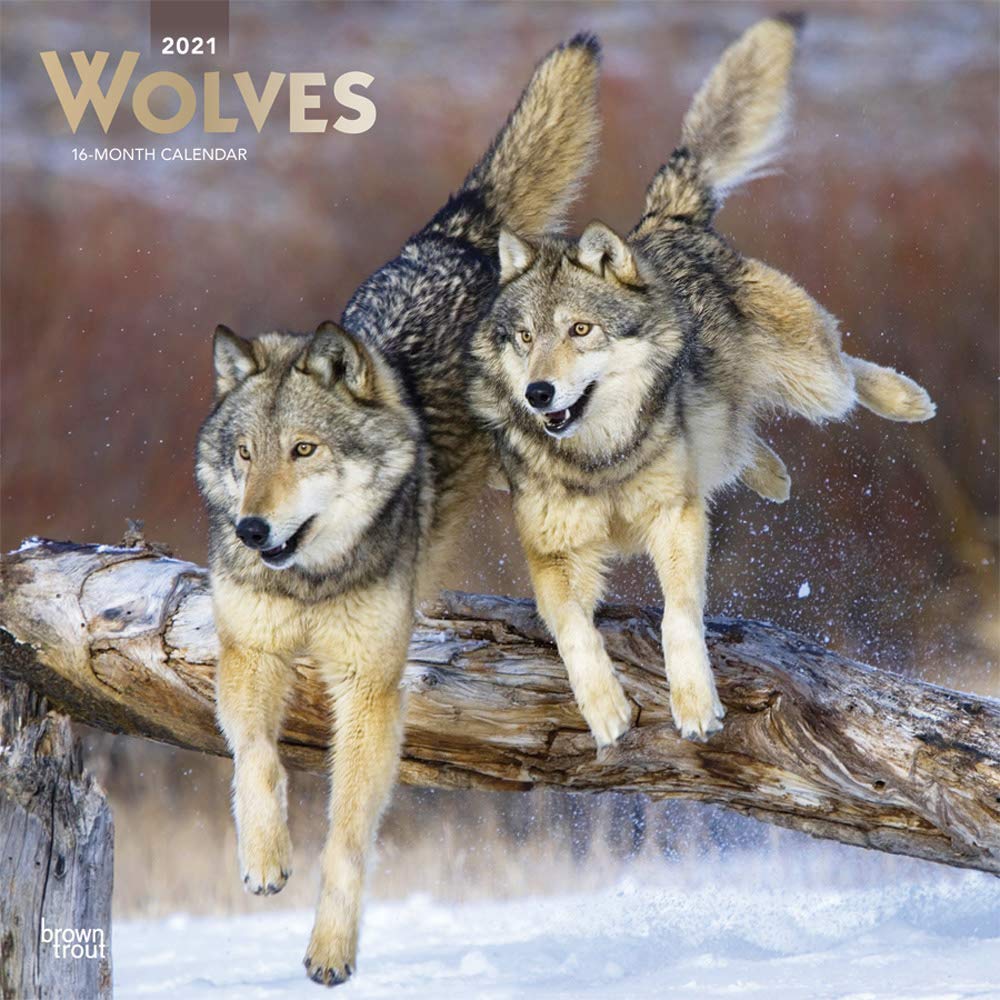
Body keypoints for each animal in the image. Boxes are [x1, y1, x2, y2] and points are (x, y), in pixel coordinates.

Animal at [195, 35, 607, 988]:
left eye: (304, 452)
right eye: (246, 455)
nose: (252, 531)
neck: (312, 581)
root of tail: (454, 234)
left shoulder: (369, 688)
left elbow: (349, 838)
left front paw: (331, 950)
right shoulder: (248, 649)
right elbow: (255, 757)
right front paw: (264, 858)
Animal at [468, 15, 935, 748]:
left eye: (580, 330)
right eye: (525, 338)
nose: (537, 394)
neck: (603, 460)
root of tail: (664, 222)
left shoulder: (677, 519)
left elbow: (677, 617)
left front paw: (693, 702)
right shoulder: (552, 554)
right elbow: (572, 633)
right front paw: (604, 711)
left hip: (814, 382)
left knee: (847, 376)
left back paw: (907, 400)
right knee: (742, 445)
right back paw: (776, 479)